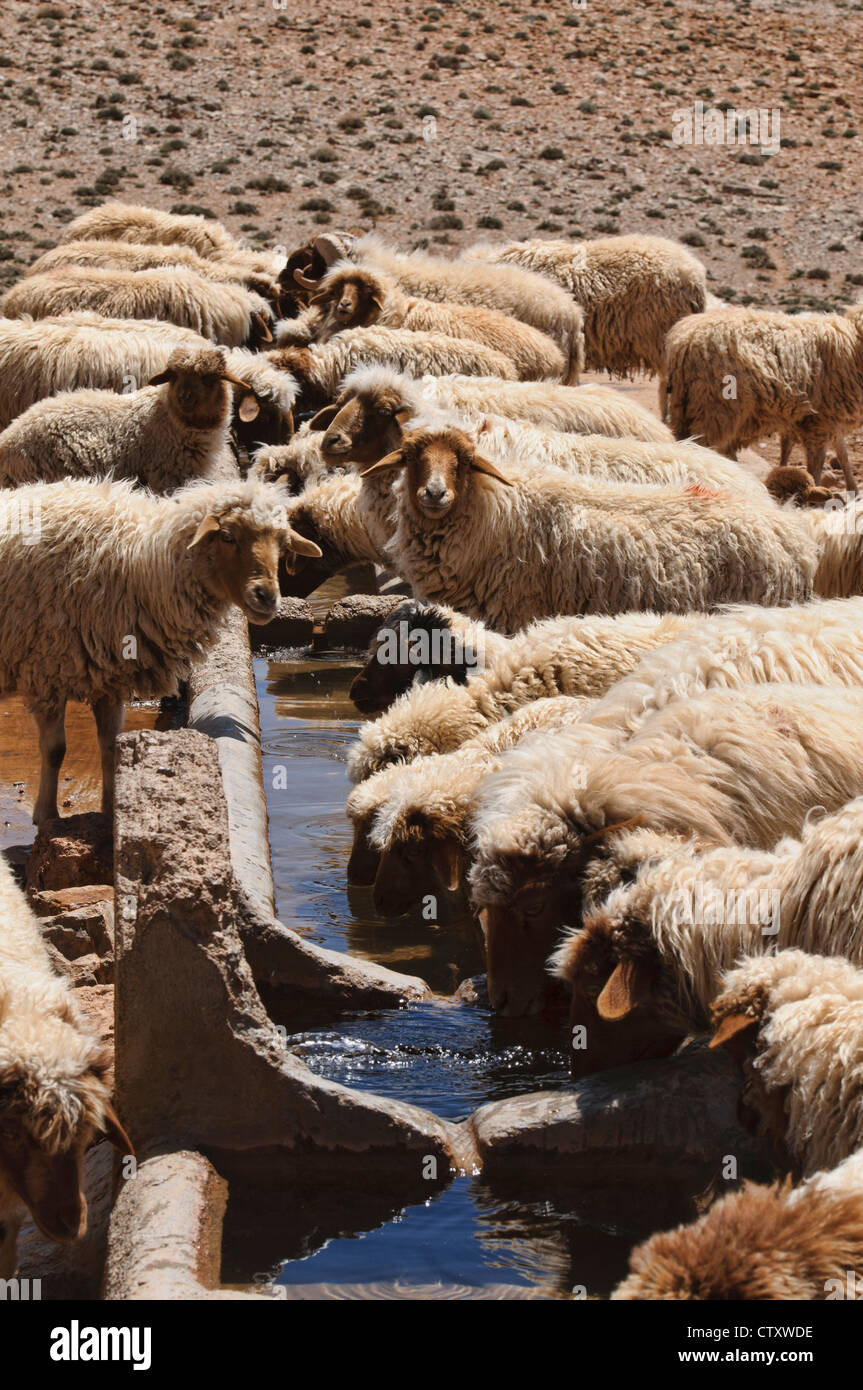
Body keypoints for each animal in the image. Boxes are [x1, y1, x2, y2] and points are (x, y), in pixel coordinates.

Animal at [0, 475, 321, 825]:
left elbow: (110, 746)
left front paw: (111, 809)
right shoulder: (45, 674)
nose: (267, 597)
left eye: (282, 544)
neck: (139, 565)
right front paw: (46, 816)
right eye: (227, 536)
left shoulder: (108, 676)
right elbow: (56, 750)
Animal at [358, 425, 817, 634]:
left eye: (465, 462)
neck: (494, 511)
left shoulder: (516, 615)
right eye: (411, 458)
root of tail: (791, 532)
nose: (435, 493)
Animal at [665, 304, 863, 491]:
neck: (854, 342)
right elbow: (817, 463)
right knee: (701, 447)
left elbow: (841, 453)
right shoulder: (822, 419)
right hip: (714, 407)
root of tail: (684, 340)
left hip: (684, 405)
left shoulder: (826, 418)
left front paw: (852, 488)